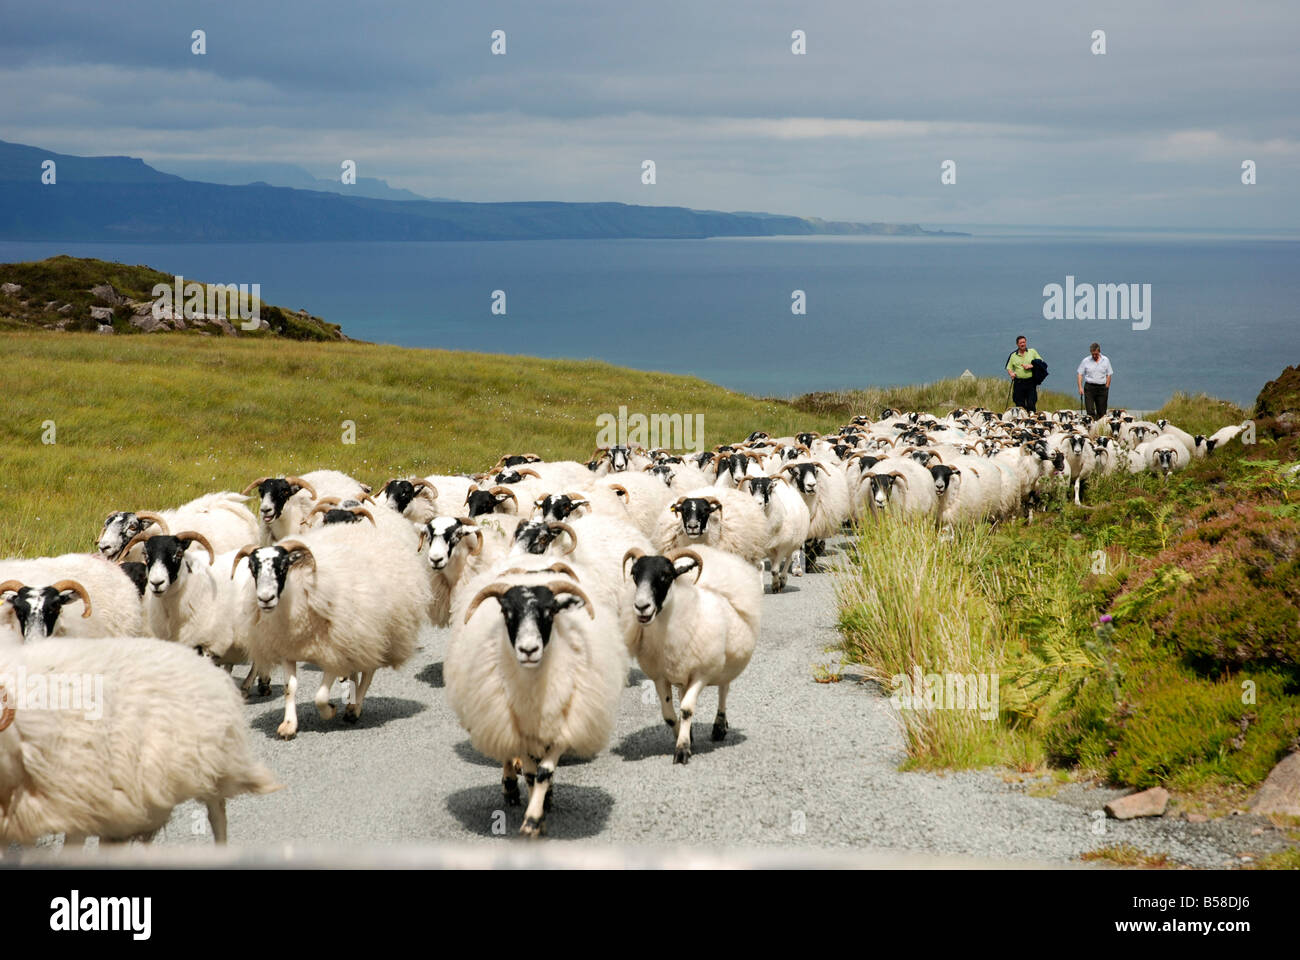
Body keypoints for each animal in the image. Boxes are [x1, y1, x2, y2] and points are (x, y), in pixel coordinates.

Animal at [235, 521, 431, 738]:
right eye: (253, 568)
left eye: (283, 566)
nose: (265, 599)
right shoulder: (288, 650)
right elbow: (290, 688)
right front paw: (288, 725)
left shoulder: (332, 653)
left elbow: (320, 696)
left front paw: (329, 710)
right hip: (355, 639)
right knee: (356, 670)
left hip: (373, 633)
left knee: (368, 672)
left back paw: (354, 709)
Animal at [448, 573, 622, 837]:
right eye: (506, 612)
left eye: (550, 611)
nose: (528, 650)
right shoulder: (517, 730)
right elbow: (529, 774)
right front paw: (533, 821)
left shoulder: (564, 726)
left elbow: (543, 773)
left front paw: (533, 819)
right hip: (495, 712)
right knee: (507, 753)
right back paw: (510, 787)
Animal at [622, 545, 761, 763]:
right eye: (634, 574)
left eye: (666, 575)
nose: (641, 607)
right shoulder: (660, 677)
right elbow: (669, 715)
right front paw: (683, 733)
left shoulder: (701, 674)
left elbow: (687, 709)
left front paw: (682, 749)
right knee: (683, 693)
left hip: (723, 664)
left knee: (723, 690)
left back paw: (719, 727)